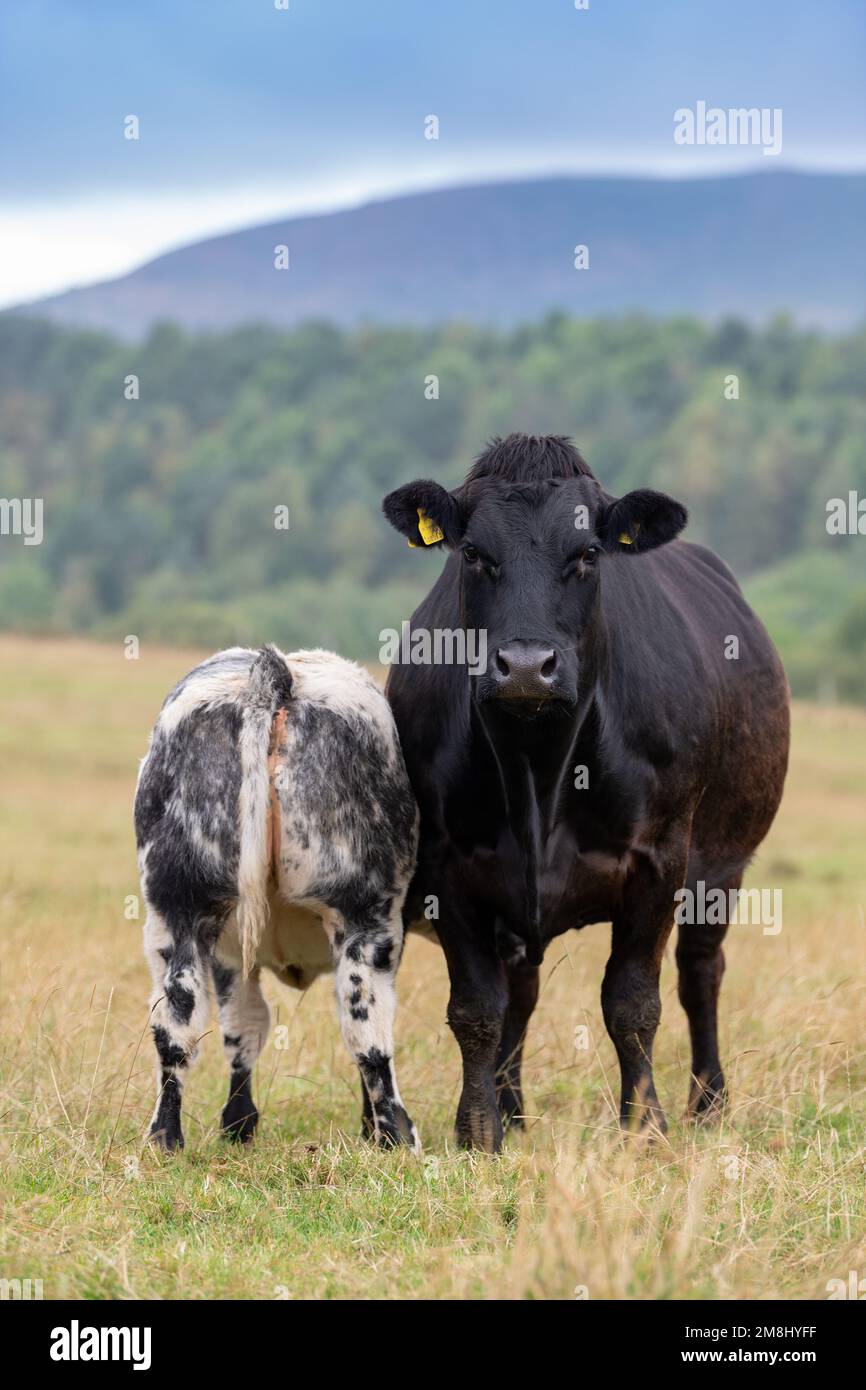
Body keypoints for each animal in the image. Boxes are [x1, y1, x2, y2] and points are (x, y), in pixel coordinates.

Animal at [134, 645, 419, 1152]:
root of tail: (275, 675)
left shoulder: (228, 954)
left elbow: (241, 1028)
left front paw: (237, 1125)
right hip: (365, 915)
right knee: (367, 1026)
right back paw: (396, 1137)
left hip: (174, 909)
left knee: (176, 1022)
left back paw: (166, 1138)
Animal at [383, 433, 789, 1152]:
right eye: (472, 553)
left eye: (588, 554)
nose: (525, 667)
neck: (537, 770)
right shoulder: (448, 864)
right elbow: (477, 1009)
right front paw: (480, 1129)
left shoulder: (659, 859)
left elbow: (632, 1003)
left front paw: (646, 1126)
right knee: (521, 993)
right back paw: (513, 1108)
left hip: (723, 868)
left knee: (701, 974)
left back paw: (708, 1102)